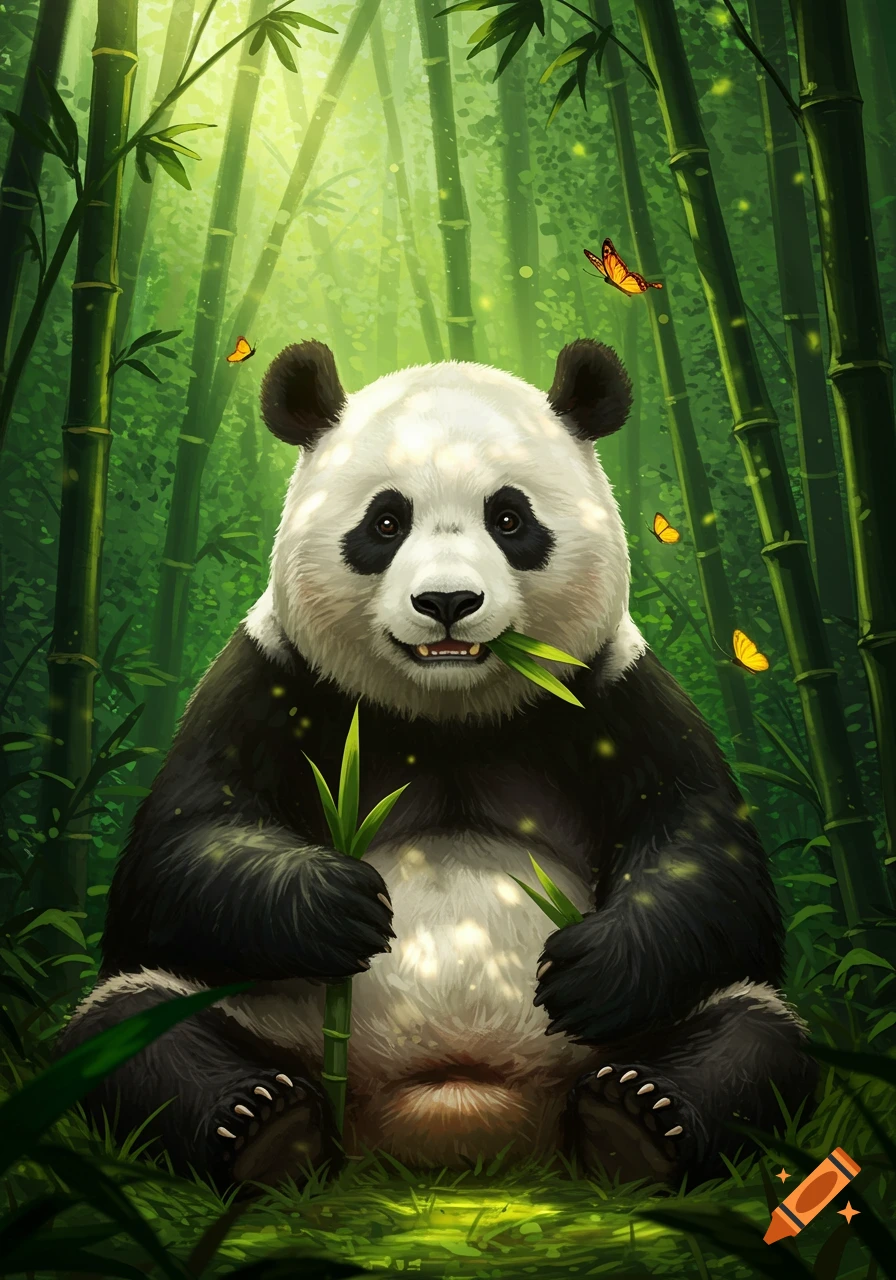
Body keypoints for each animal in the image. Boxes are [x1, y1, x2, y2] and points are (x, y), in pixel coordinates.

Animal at [59, 338, 817, 1190]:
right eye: (386, 521)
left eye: (510, 518)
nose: (447, 602)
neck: (448, 711)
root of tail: (447, 1112)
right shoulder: (267, 679)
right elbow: (177, 854)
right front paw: (338, 904)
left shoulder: (618, 692)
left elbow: (705, 854)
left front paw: (592, 967)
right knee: (121, 1027)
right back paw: (263, 1126)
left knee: (758, 1034)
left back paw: (636, 1120)